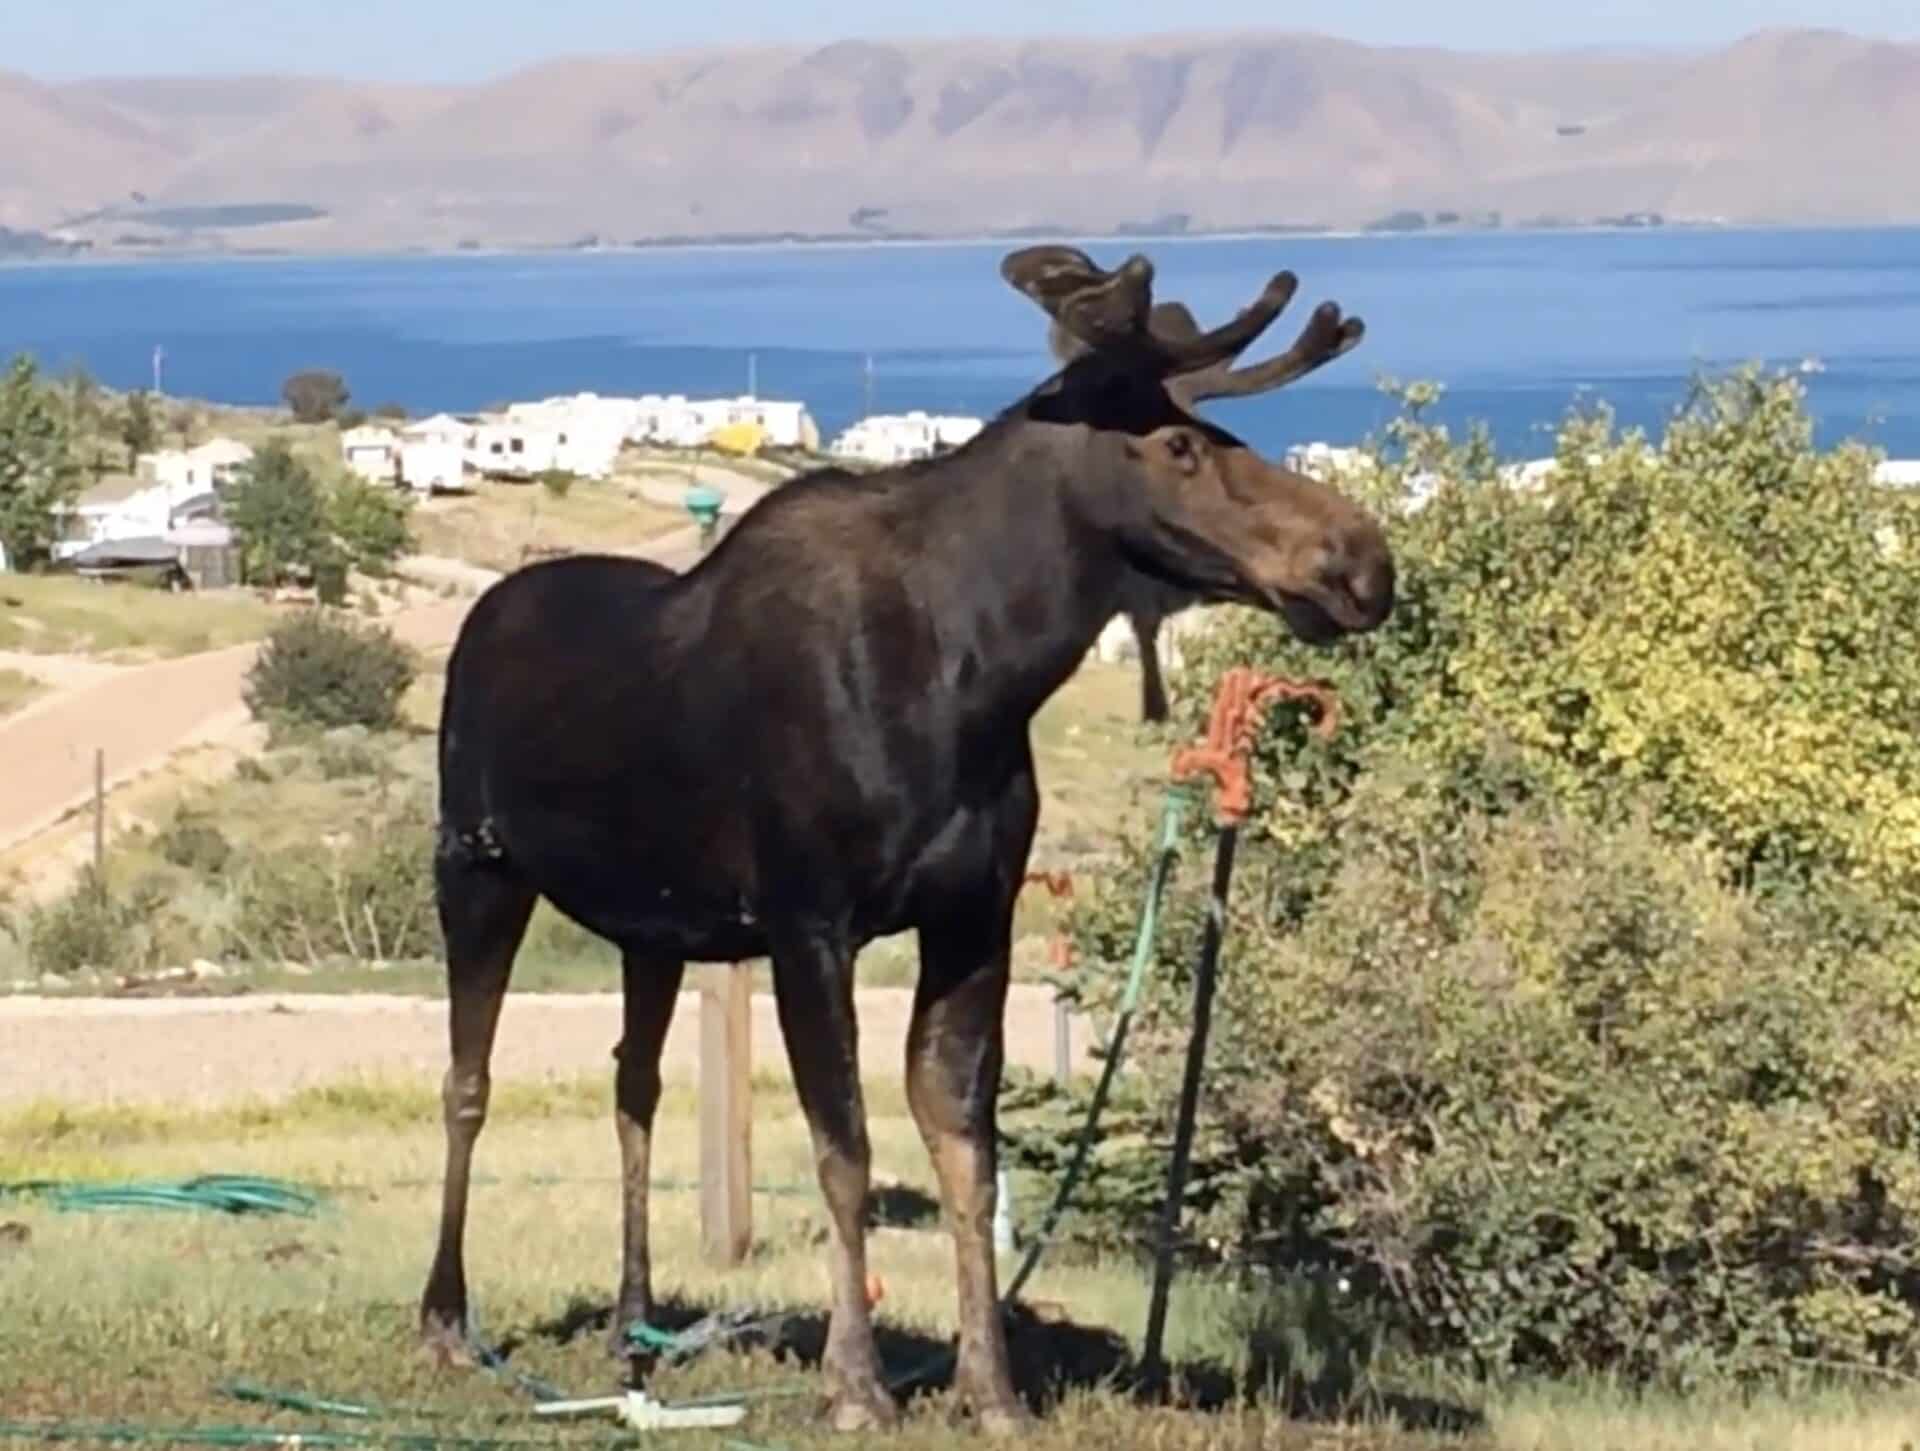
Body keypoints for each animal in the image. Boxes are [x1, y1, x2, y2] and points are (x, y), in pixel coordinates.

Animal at [417, 243, 1391, 1435]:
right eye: (1178, 446)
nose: (1363, 559)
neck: (983, 671)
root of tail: (481, 623)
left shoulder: (974, 912)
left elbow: (965, 1149)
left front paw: (990, 1384)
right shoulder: (809, 917)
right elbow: (846, 1149)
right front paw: (857, 1379)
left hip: (652, 927)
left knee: (631, 1085)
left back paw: (633, 1324)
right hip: (475, 862)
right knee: (468, 1079)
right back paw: (448, 1316)